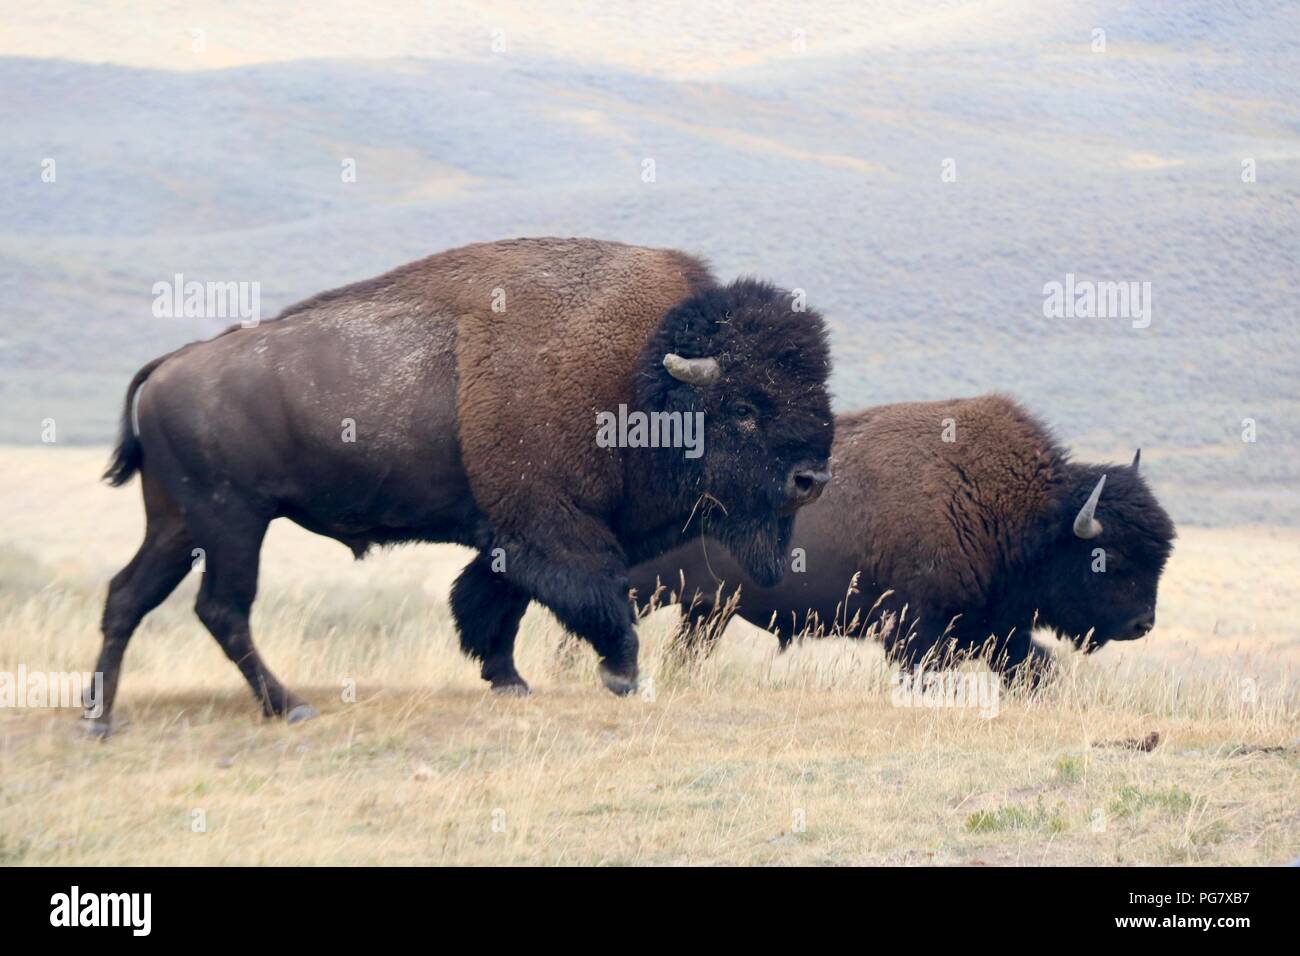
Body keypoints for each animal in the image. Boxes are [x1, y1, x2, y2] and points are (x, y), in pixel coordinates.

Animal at [91, 238, 833, 733]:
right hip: (233, 520)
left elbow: (490, 600)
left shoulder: (509, 536)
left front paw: (508, 680)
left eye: (818, 388)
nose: (812, 478)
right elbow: (588, 596)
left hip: (177, 522)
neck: (639, 375)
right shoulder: (551, 526)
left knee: (129, 595)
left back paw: (100, 717)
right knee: (221, 608)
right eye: (745, 407)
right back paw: (290, 707)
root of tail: (169, 364)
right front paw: (621, 674)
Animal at [630, 394, 1176, 683]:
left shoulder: (992, 626)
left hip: (706, 610)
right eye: (1107, 558)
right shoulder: (917, 631)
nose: (1142, 623)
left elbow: (1033, 667)